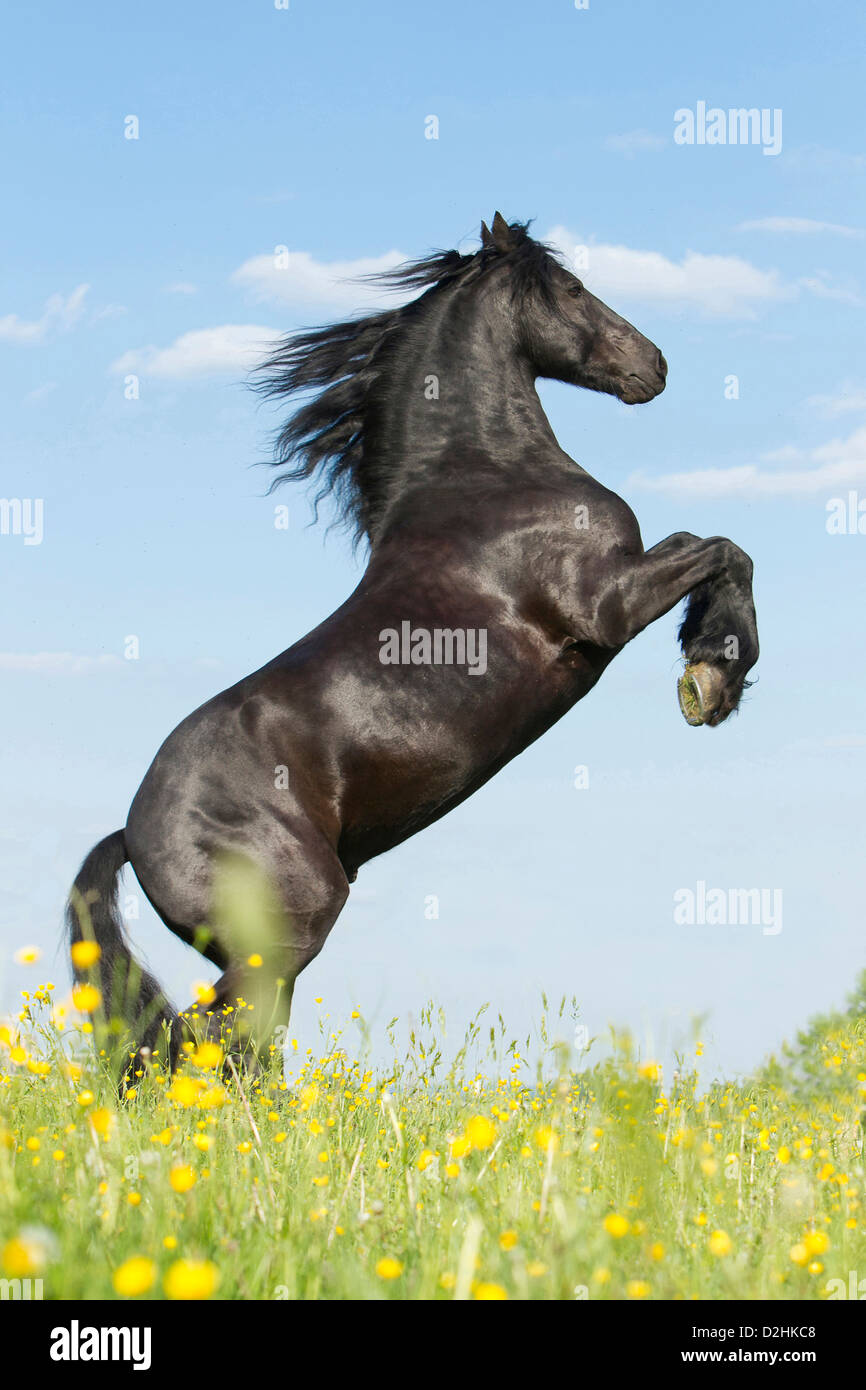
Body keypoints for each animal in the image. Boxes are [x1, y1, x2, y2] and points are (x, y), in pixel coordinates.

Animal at [66, 213, 759, 1078]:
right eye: (571, 288)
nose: (654, 365)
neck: (484, 477)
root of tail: (132, 834)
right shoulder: (606, 605)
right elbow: (723, 547)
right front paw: (712, 680)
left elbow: (708, 544)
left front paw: (708, 672)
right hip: (288, 934)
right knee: (199, 1043)